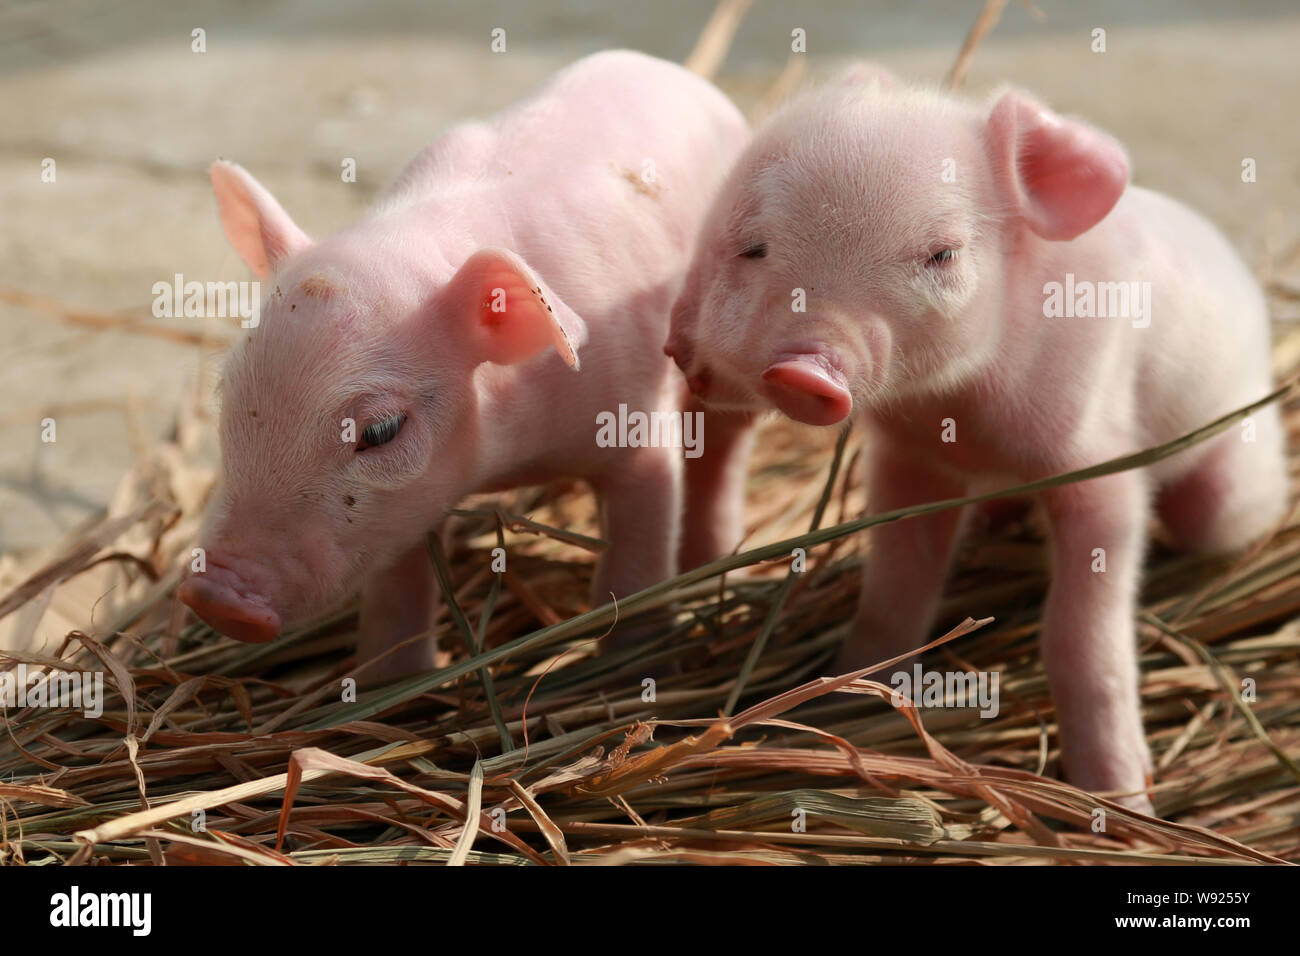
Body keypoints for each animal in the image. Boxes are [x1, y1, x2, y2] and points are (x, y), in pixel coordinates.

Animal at [178, 51, 753, 680]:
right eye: (229, 394)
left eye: (380, 430)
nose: (215, 595)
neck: (514, 457)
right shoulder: (407, 506)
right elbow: (400, 580)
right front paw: (392, 680)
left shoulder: (639, 422)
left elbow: (641, 547)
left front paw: (631, 665)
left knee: (724, 449)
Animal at [666, 68, 1288, 813]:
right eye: (753, 245)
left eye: (943, 254)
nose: (801, 369)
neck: (962, 412)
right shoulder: (910, 464)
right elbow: (895, 592)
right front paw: (839, 701)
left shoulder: (1101, 460)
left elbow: (1080, 633)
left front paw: (1121, 797)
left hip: (1229, 483)